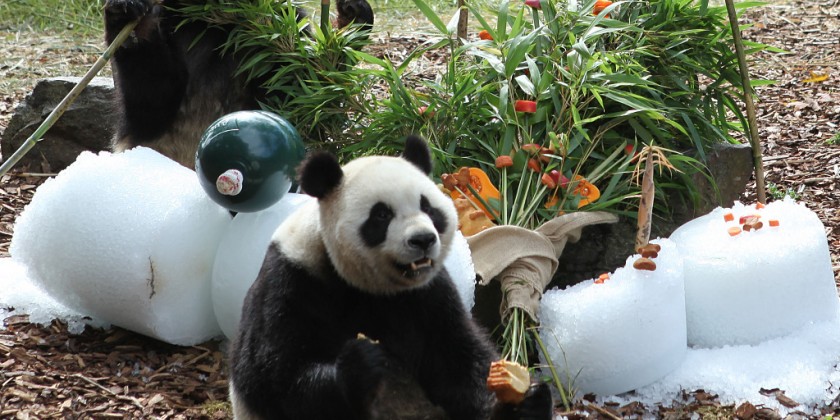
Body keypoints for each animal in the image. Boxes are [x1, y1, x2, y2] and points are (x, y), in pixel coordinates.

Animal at [228, 135, 553, 419]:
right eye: (381, 215)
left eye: (428, 207)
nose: (423, 240)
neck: (366, 285)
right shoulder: (292, 282)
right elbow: (273, 379)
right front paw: (361, 364)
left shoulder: (428, 294)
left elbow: (457, 360)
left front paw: (524, 402)